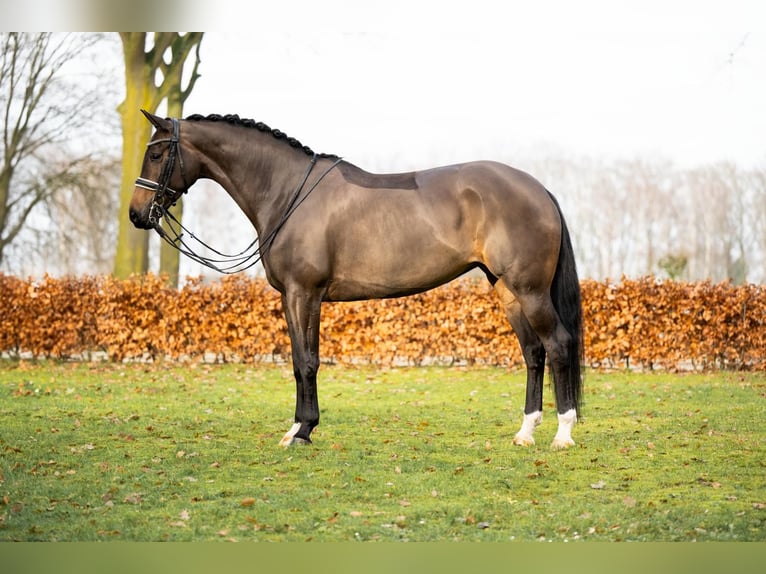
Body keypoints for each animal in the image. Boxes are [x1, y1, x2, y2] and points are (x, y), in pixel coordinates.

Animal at [129, 111, 584, 449]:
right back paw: (525, 432)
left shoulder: (305, 294)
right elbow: (298, 362)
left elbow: (307, 361)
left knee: (558, 345)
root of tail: (539, 190)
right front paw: (295, 429)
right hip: (507, 290)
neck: (288, 193)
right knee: (533, 352)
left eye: (157, 153)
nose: (136, 214)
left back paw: (563, 434)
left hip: (530, 290)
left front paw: (303, 431)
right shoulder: (291, 297)